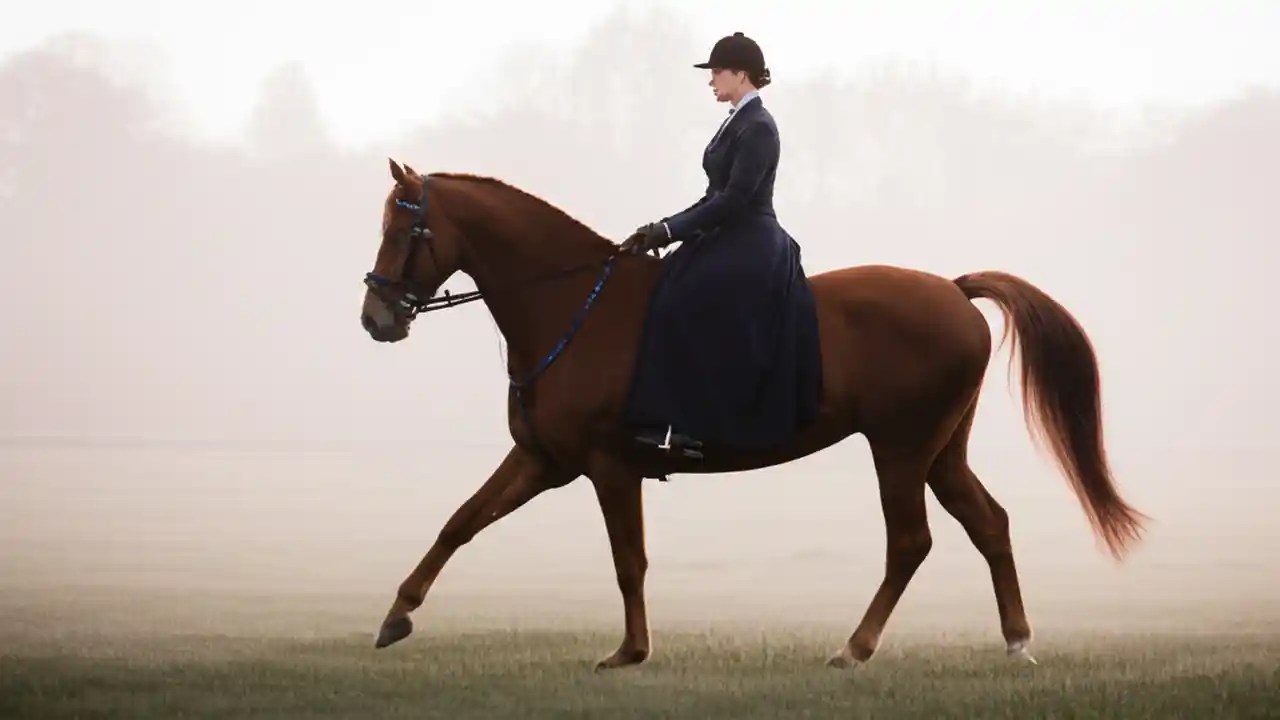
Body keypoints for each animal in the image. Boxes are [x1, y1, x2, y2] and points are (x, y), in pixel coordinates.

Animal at [359, 159, 1146, 670]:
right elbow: (461, 521)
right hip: (940, 451)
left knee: (910, 541)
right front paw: (396, 615)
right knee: (988, 523)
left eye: (406, 230)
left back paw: (855, 649)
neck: (574, 305)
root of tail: (953, 290)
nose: (375, 318)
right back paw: (1016, 641)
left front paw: (629, 652)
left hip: (899, 449)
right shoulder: (543, 460)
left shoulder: (610, 468)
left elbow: (628, 560)